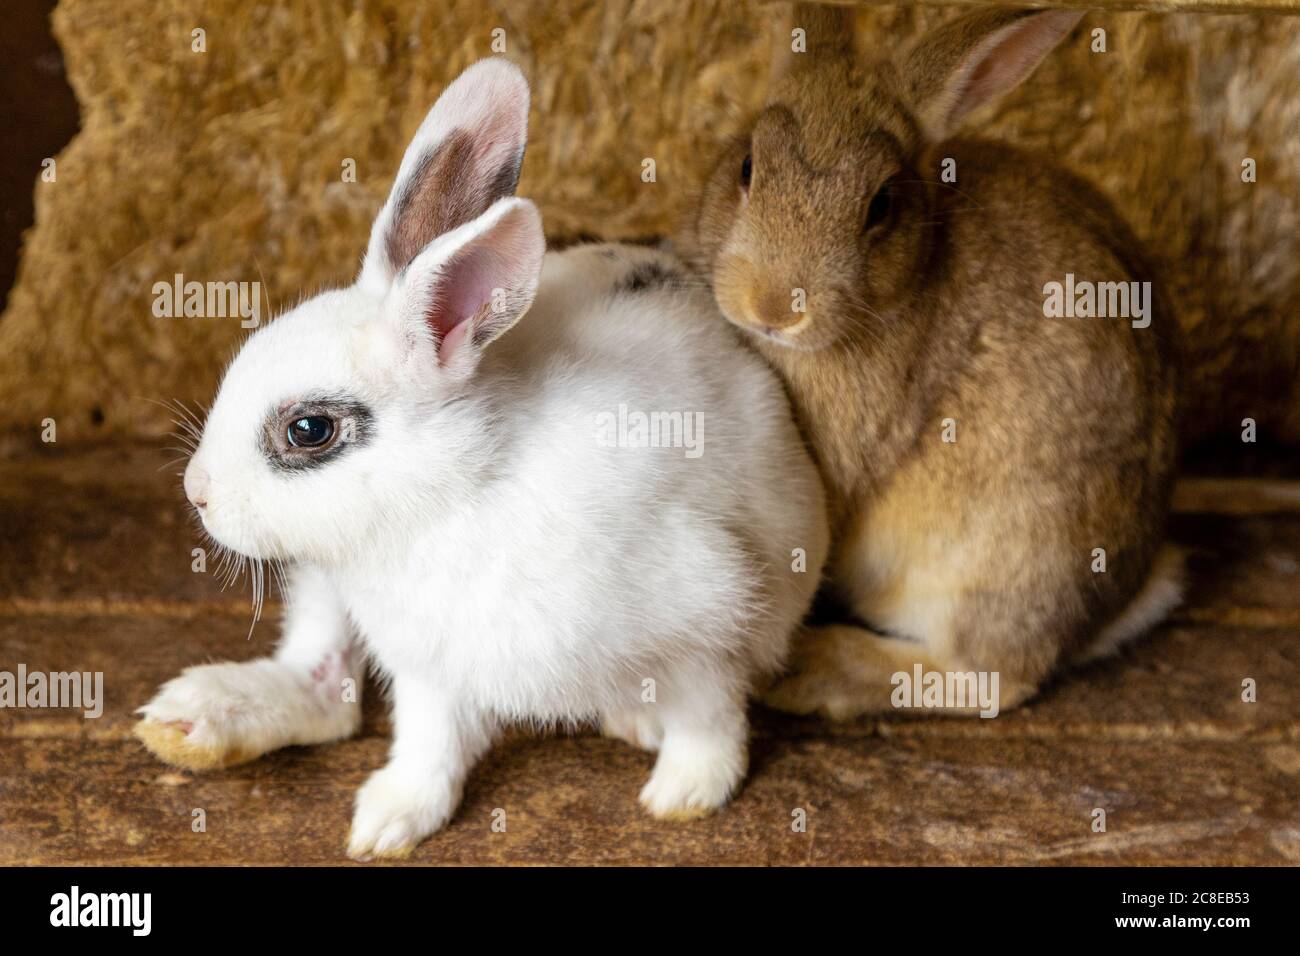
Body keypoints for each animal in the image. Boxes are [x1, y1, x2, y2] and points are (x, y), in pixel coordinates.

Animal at [133, 58, 828, 859]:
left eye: (309, 430)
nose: (198, 491)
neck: (456, 497)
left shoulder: (709, 622)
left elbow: (708, 717)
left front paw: (687, 794)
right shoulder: (430, 667)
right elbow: (428, 748)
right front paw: (388, 822)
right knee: (324, 687)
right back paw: (193, 720)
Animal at [674, 5, 1183, 720]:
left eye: (881, 205)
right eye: (747, 165)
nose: (772, 305)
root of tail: (1124, 601)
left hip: (990, 566)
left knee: (992, 677)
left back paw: (820, 671)